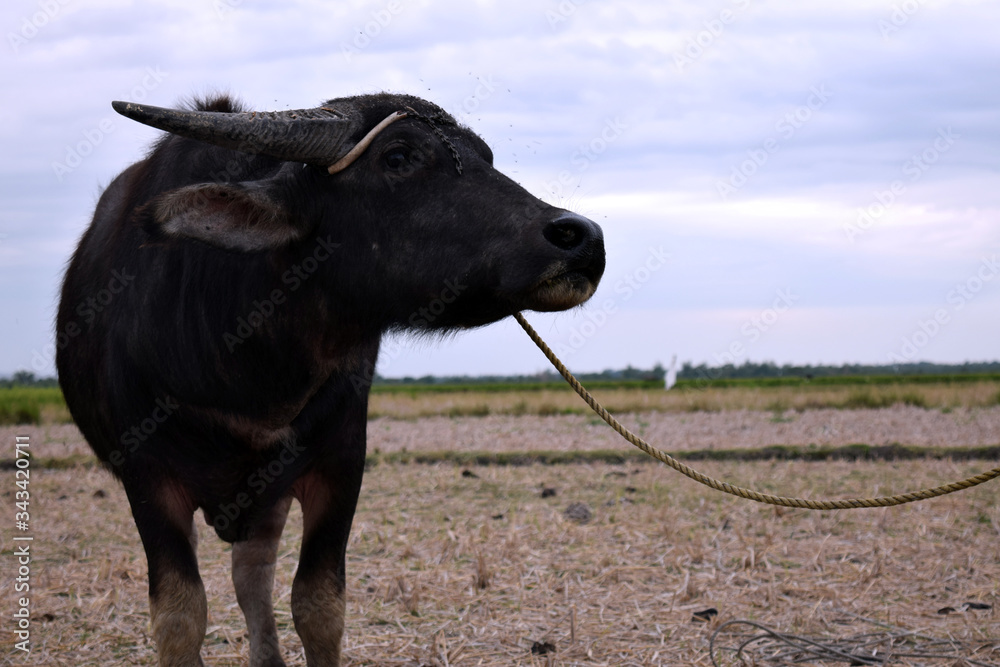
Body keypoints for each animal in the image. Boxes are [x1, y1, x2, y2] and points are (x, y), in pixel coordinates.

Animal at [57, 92, 605, 666]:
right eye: (398, 156)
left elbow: (318, 605)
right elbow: (179, 618)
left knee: (252, 574)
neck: (250, 366)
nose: (581, 237)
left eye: (486, 156)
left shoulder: (340, 465)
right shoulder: (146, 477)